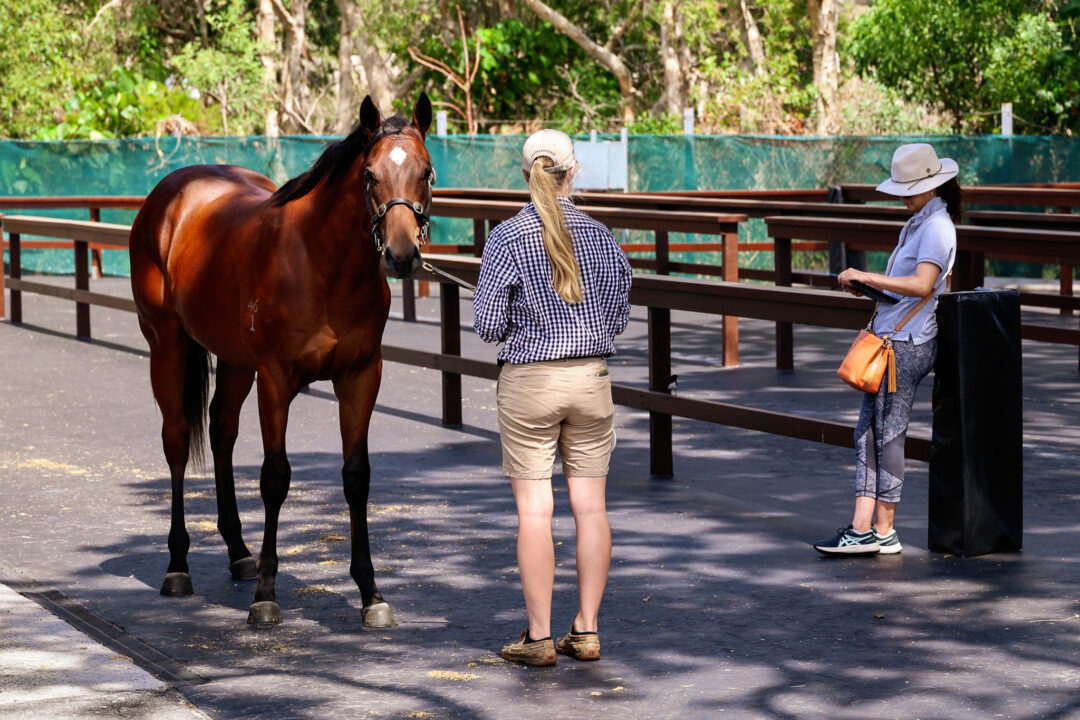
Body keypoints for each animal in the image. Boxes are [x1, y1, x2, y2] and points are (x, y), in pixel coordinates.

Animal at [129, 93, 434, 627]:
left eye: (427, 172)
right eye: (369, 175)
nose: (401, 255)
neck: (322, 265)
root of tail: (169, 194)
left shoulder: (360, 378)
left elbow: (357, 477)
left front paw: (370, 593)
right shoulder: (276, 380)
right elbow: (275, 478)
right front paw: (267, 597)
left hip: (235, 362)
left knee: (222, 430)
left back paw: (238, 552)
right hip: (167, 344)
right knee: (177, 439)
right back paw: (178, 565)